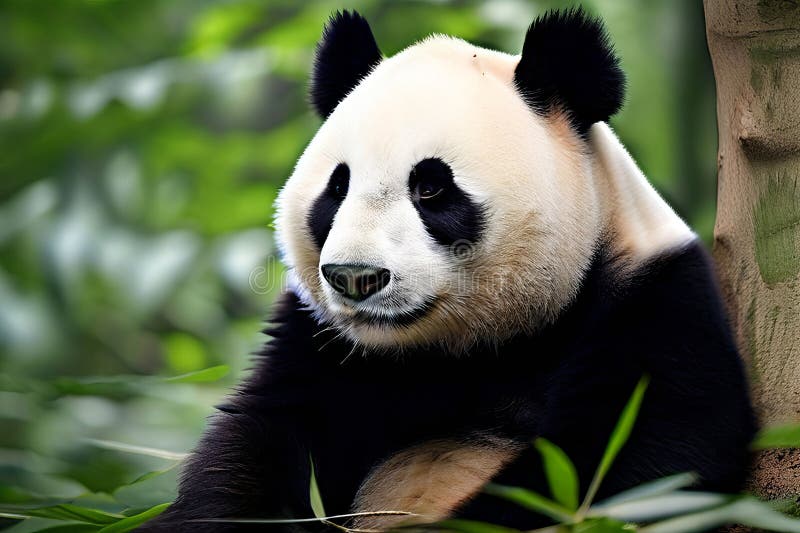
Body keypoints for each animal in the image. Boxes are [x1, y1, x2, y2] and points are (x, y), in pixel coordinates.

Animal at [142, 8, 755, 532]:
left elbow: (633, 465)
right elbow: (256, 445)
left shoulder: (652, 305)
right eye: (337, 188)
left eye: (432, 188)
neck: (468, 351)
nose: (354, 277)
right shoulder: (320, 343)